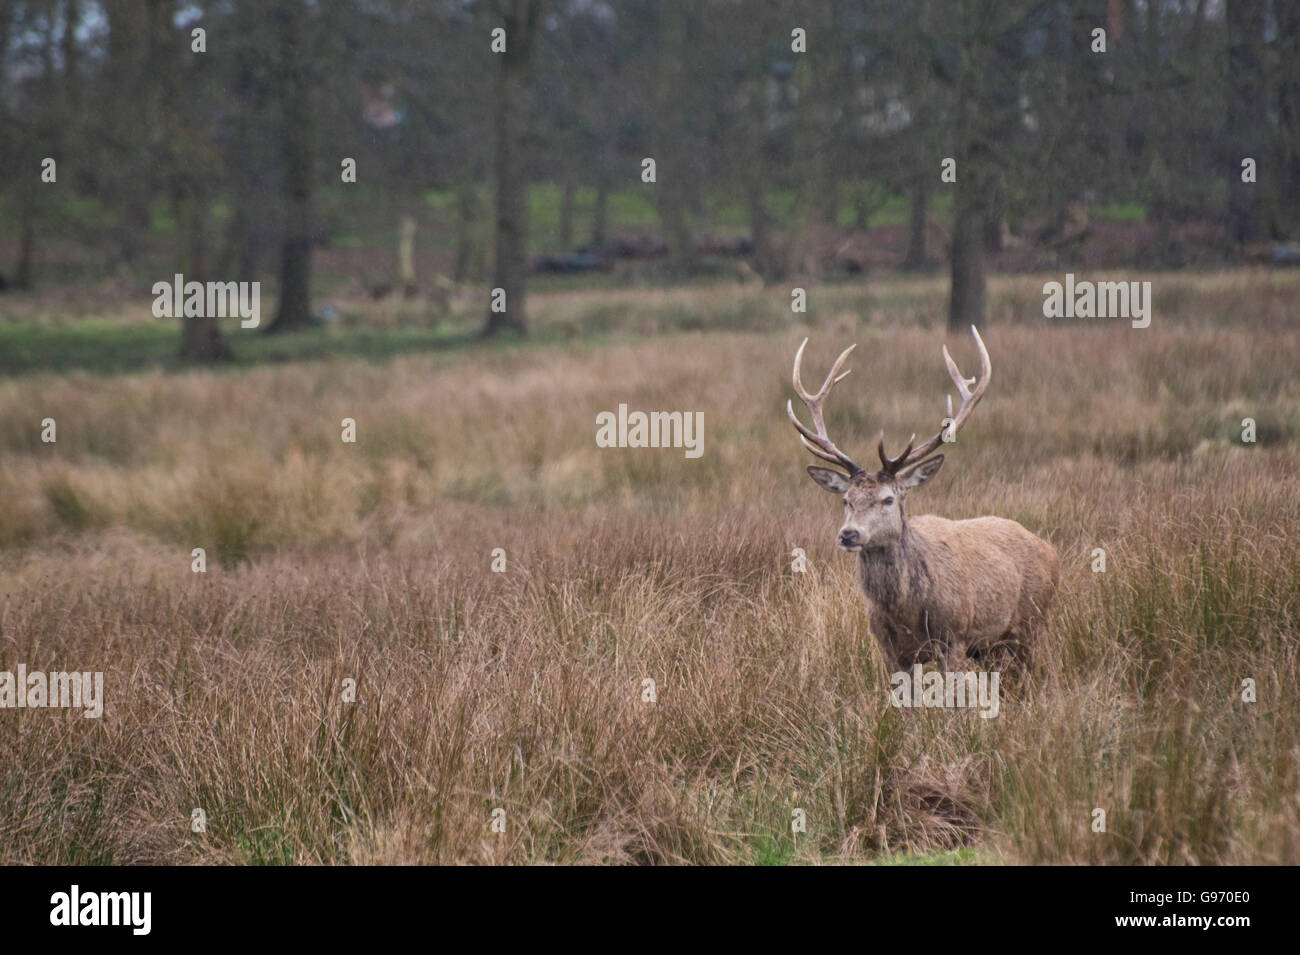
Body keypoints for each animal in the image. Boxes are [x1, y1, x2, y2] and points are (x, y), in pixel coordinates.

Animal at [788, 326, 1058, 673]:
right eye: (846, 499)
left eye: (888, 499)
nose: (848, 534)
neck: (906, 613)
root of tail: (1050, 550)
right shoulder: (889, 650)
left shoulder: (955, 636)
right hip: (991, 647)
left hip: (1031, 623)